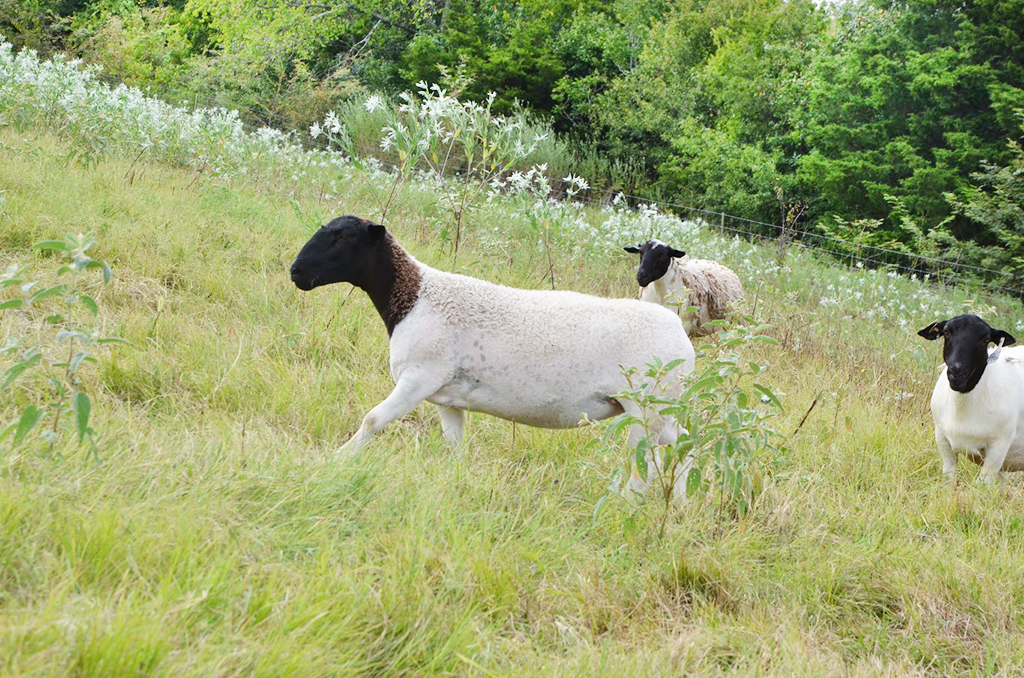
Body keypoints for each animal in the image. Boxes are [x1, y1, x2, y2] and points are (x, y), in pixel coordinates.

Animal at [290, 216, 696, 493]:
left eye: (344, 237)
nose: (296, 272)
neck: (414, 297)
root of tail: (682, 337)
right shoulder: (446, 396)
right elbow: (454, 447)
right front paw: (455, 482)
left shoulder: (419, 377)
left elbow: (372, 420)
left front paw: (337, 461)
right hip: (663, 408)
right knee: (684, 442)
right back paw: (680, 500)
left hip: (647, 407)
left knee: (645, 463)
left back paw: (627, 503)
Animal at [918, 314, 1024, 485]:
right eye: (946, 332)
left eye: (985, 339)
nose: (957, 373)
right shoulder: (941, 436)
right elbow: (949, 477)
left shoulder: (999, 447)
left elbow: (982, 484)